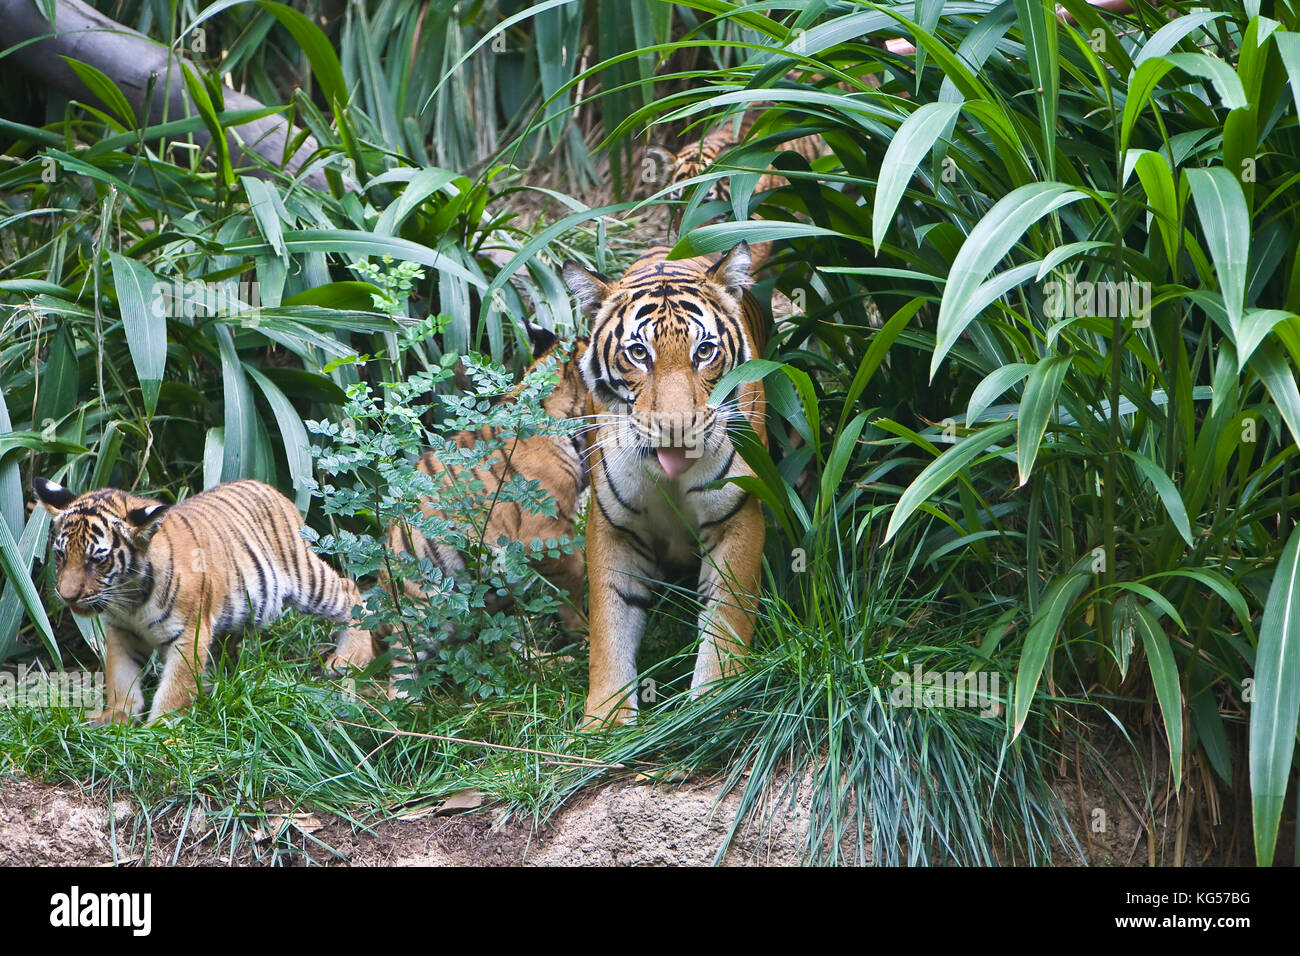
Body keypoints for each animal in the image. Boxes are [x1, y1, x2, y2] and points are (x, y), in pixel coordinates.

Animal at [33, 476, 372, 724]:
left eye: (97, 559)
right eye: (60, 554)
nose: (66, 595)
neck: (129, 596)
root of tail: (272, 489)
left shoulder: (189, 633)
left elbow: (175, 687)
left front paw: (161, 730)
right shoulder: (121, 632)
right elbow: (120, 677)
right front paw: (115, 718)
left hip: (305, 578)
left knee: (350, 591)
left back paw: (351, 657)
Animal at [325, 324, 591, 682]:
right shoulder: (548, 536)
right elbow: (573, 584)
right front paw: (585, 634)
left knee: (499, 642)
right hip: (426, 612)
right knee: (403, 671)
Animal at [562, 242, 768, 726]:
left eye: (705, 351)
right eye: (639, 353)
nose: (676, 428)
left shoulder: (737, 515)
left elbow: (727, 617)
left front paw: (716, 703)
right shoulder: (615, 526)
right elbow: (610, 623)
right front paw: (605, 721)